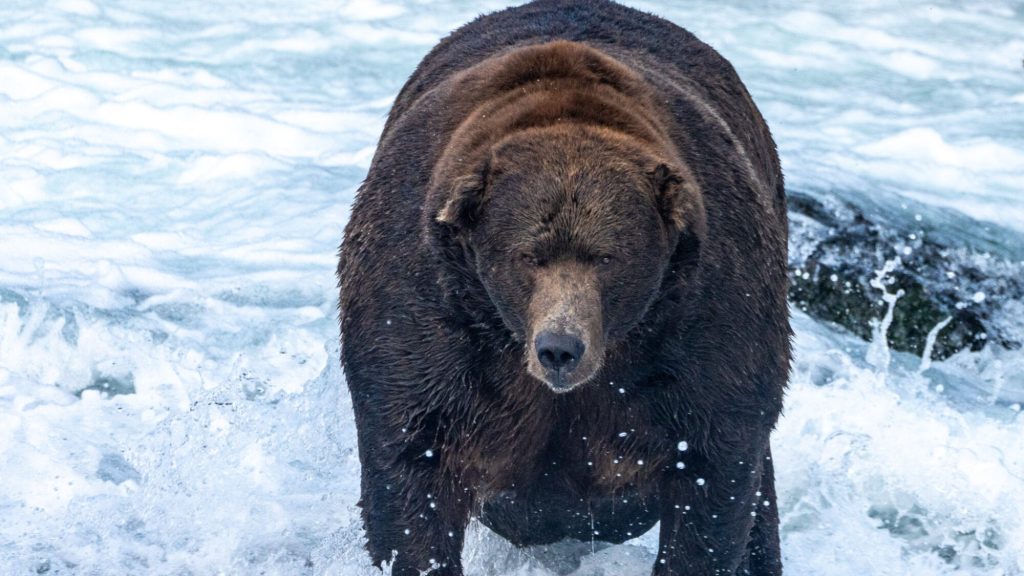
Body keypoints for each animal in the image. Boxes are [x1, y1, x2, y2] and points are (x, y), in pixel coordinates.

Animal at [337, 1, 790, 575]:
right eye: (528, 255)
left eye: (607, 257)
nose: (559, 348)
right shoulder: (426, 305)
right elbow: (412, 464)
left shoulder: (706, 313)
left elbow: (714, 474)